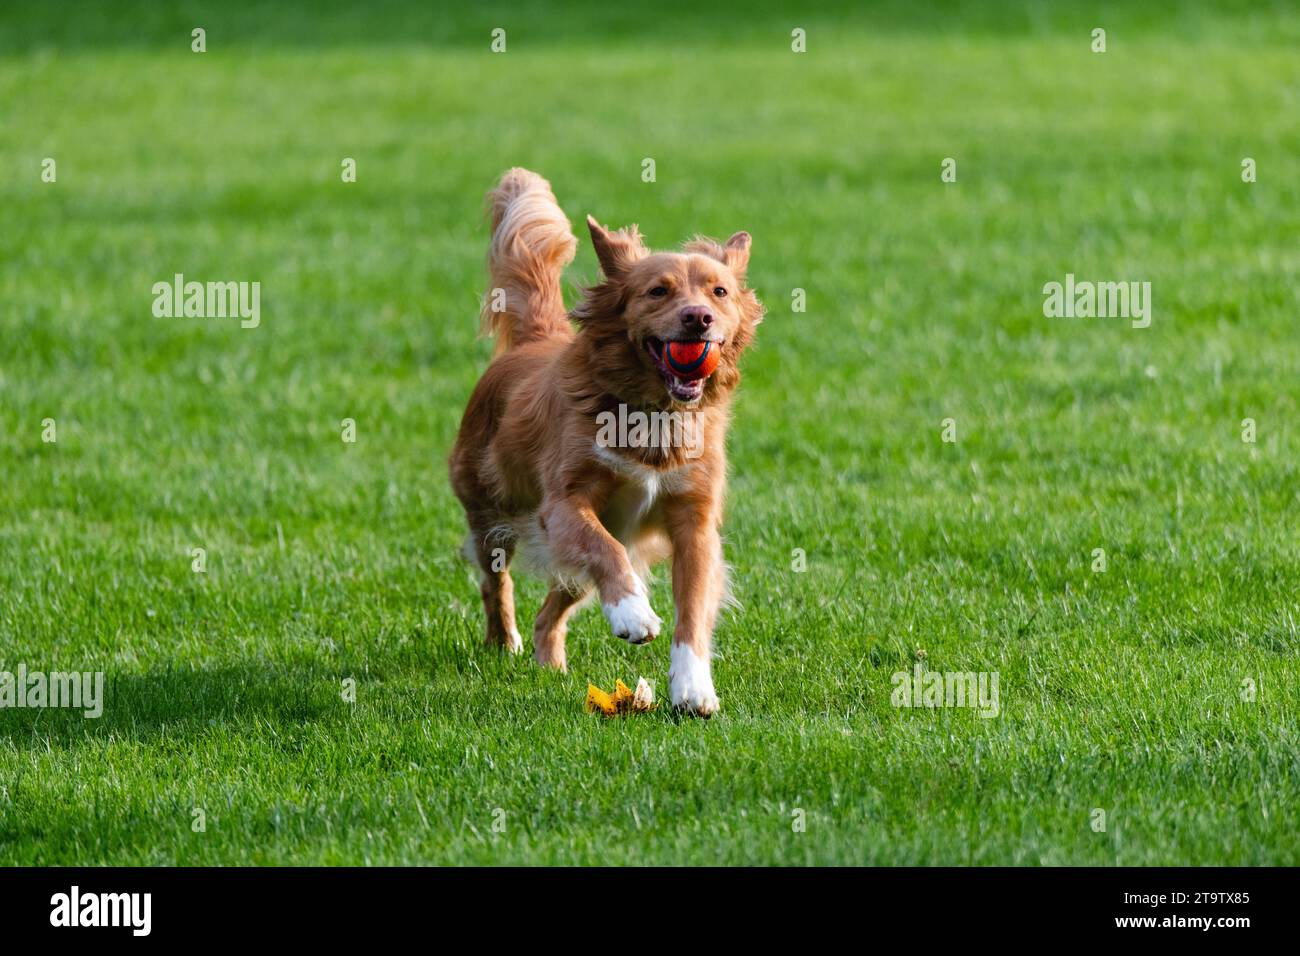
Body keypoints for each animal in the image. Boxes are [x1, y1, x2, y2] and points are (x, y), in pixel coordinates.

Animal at [452, 167, 759, 712]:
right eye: (657, 291)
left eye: (720, 292)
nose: (698, 317)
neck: (653, 412)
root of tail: (534, 341)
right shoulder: (563, 506)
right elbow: (604, 551)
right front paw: (633, 614)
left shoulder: (696, 524)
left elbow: (693, 609)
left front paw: (692, 685)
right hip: (490, 512)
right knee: (496, 581)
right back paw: (504, 642)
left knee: (552, 609)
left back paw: (550, 664)